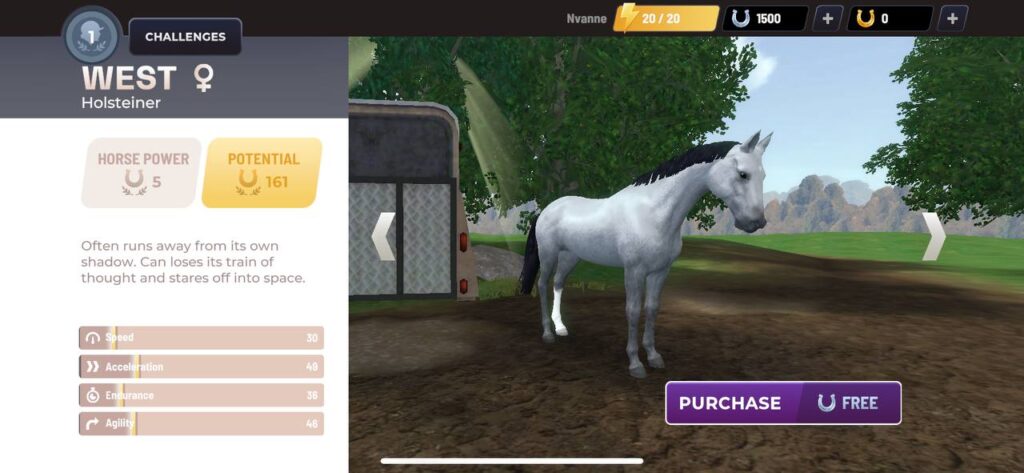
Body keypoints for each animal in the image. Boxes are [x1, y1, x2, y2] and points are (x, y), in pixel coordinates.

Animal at [519, 131, 772, 378]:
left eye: (763, 176)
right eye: (743, 174)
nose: (756, 223)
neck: (653, 212)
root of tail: (547, 209)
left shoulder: (660, 271)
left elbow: (652, 309)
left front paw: (653, 356)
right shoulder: (634, 271)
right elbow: (632, 311)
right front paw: (635, 364)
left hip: (570, 256)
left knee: (558, 284)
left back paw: (561, 328)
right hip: (549, 255)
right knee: (543, 284)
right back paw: (547, 333)